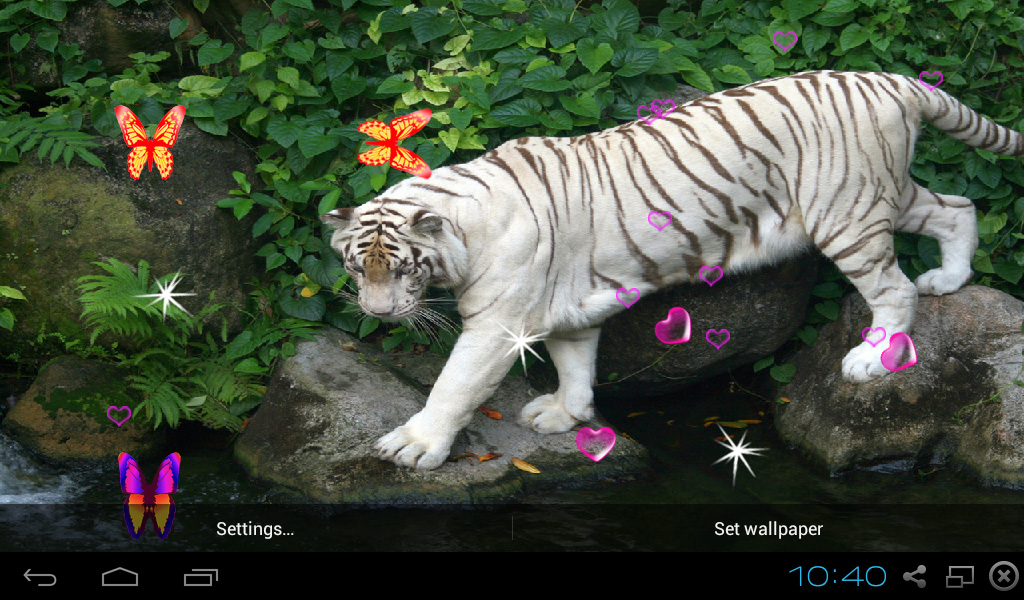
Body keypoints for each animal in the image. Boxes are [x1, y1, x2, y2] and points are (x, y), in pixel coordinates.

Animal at [321, 70, 1024, 470]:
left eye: (402, 270)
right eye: (358, 269)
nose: (377, 313)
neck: (464, 229)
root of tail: (891, 80)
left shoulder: (497, 325)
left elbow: (455, 385)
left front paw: (413, 446)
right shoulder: (567, 306)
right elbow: (576, 362)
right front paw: (566, 416)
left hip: (846, 213)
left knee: (894, 287)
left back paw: (873, 359)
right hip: (881, 194)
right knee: (956, 207)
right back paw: (950, 279)